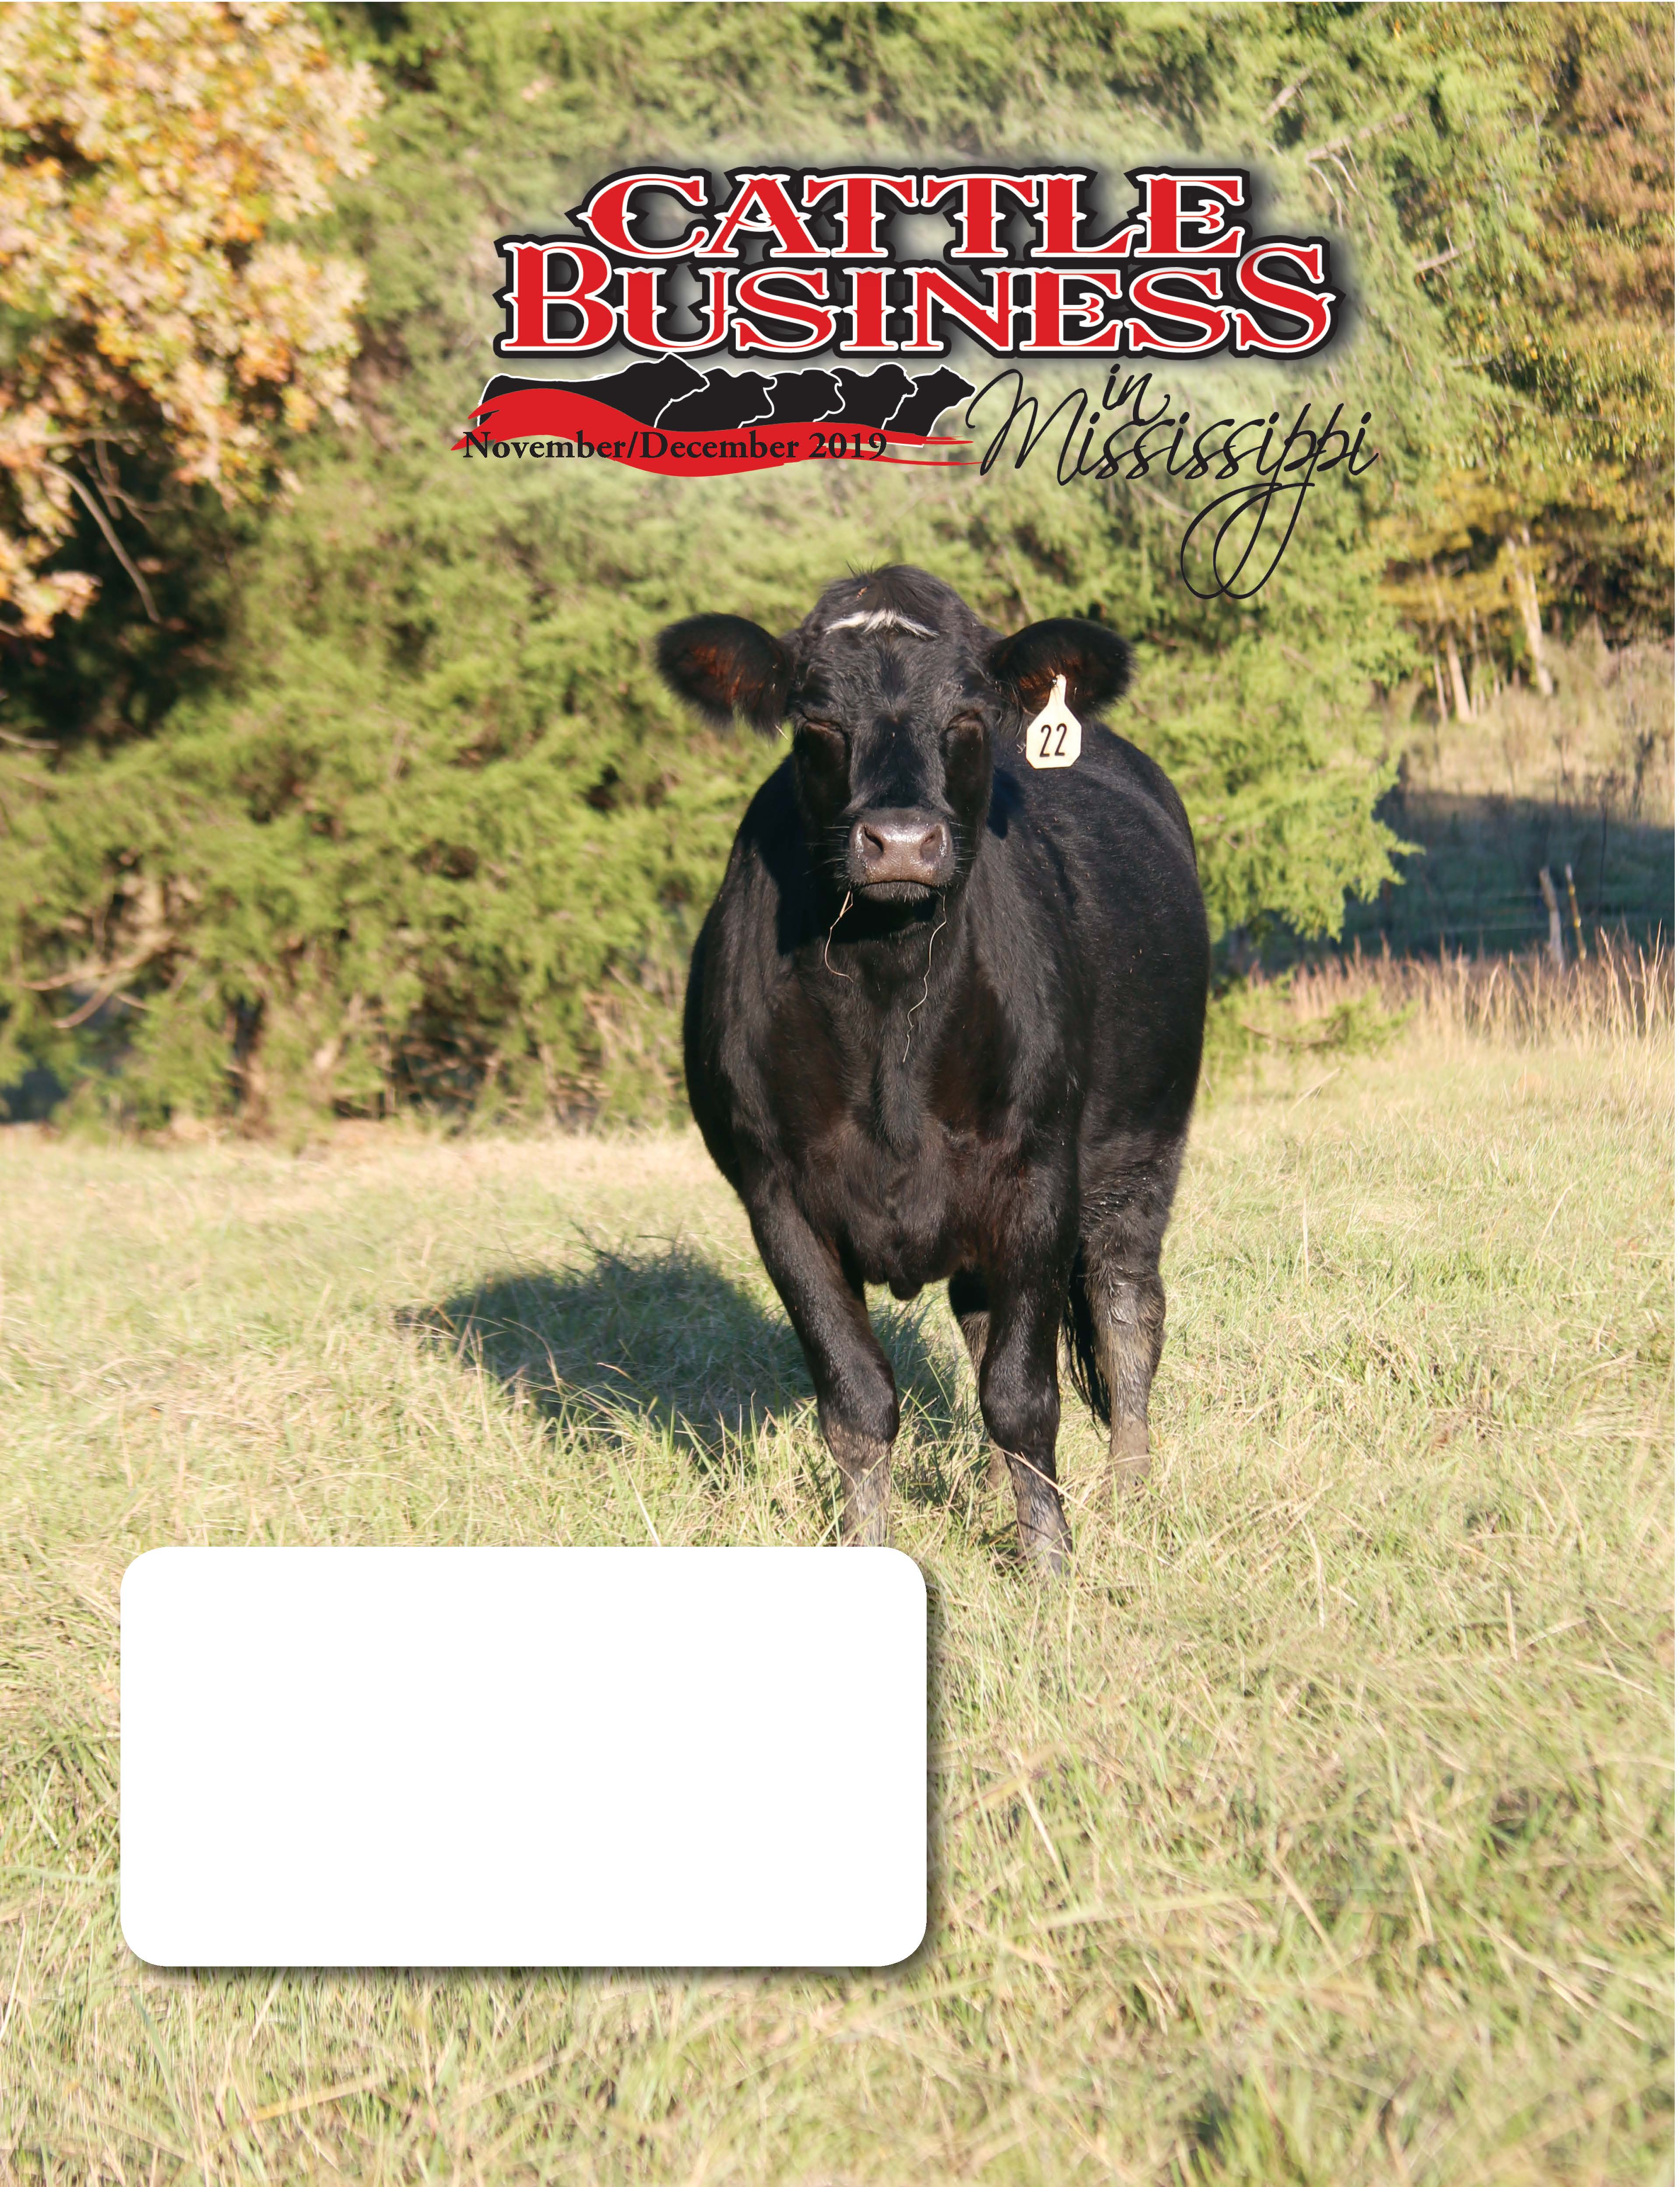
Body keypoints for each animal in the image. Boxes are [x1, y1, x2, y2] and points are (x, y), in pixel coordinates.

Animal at [656, 566, 1208, 1571]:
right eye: (814, 718)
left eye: (968, 713)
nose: (901, 842)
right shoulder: (774, 1192)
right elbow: (858, 1403)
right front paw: (871, 1543)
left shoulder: (1039, 1172)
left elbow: (1024, 1396)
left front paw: (1051, 1567)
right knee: (982, 1318)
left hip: (1143, 1149)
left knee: (1125, 1310)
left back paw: (1130, 1491)